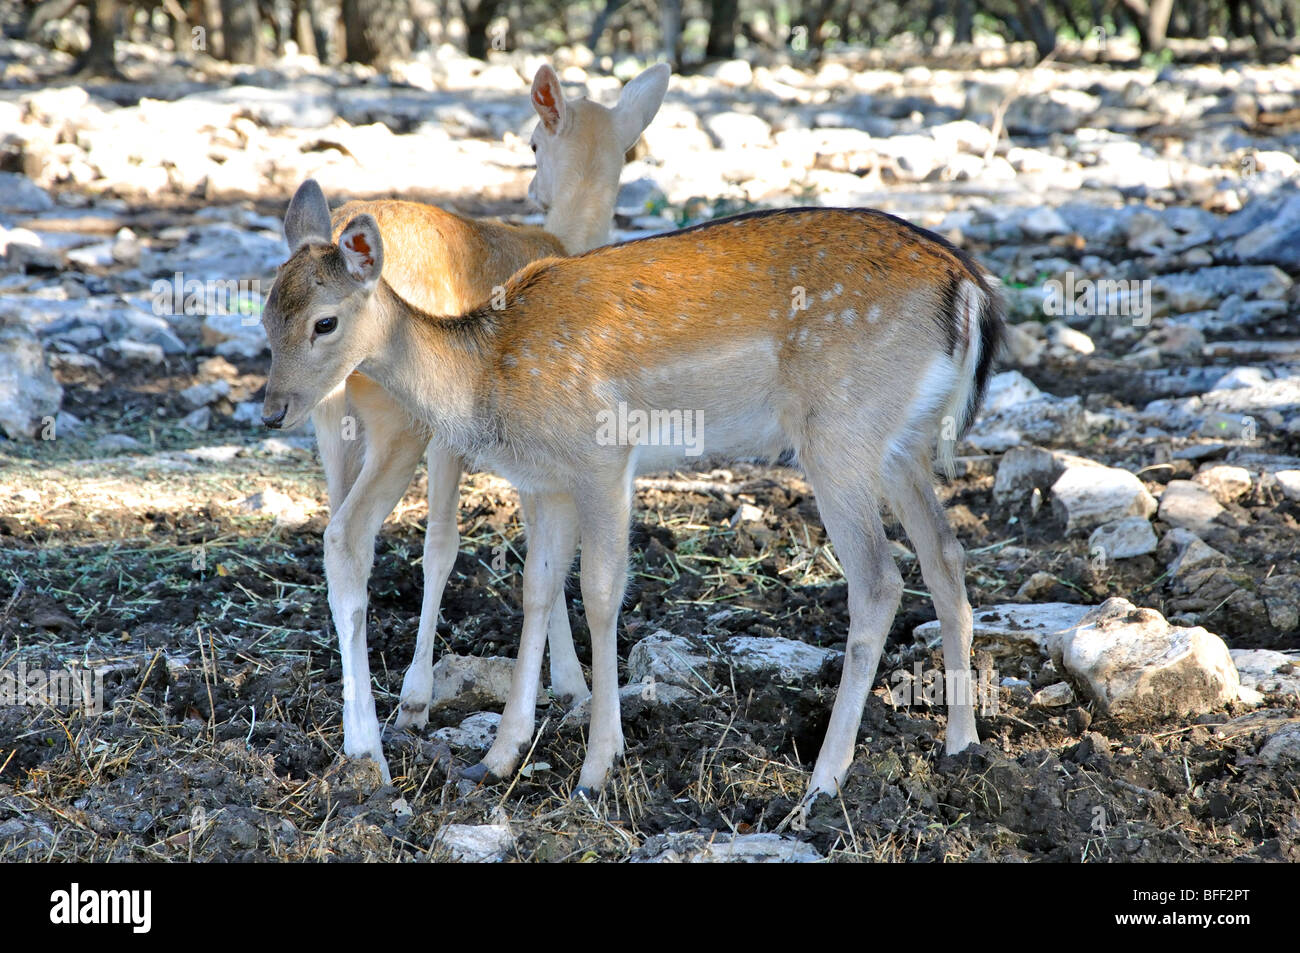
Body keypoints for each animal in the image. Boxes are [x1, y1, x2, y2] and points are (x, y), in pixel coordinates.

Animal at [262, 180, 1004, 808]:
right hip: (902, 440)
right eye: (265, 315)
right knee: (946, 554)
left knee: (880, 580)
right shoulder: (548, 481)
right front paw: (498, 758)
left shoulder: (602, 456)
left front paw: (596, 767)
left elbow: (599, 592)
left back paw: (822, 783)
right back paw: (962, 746)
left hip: (840, 428)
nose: (272, 409)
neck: (487, 375)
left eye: (324, 322)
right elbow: (536, 589)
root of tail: (972, 293)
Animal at [277, 63, 671, 782]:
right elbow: (483, 545)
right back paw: (395, 718)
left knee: (335, 532)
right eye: (533, 143)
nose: (532, 186)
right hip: (403, 418)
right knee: (366, 536)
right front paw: (569, 687)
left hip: (327, 416)